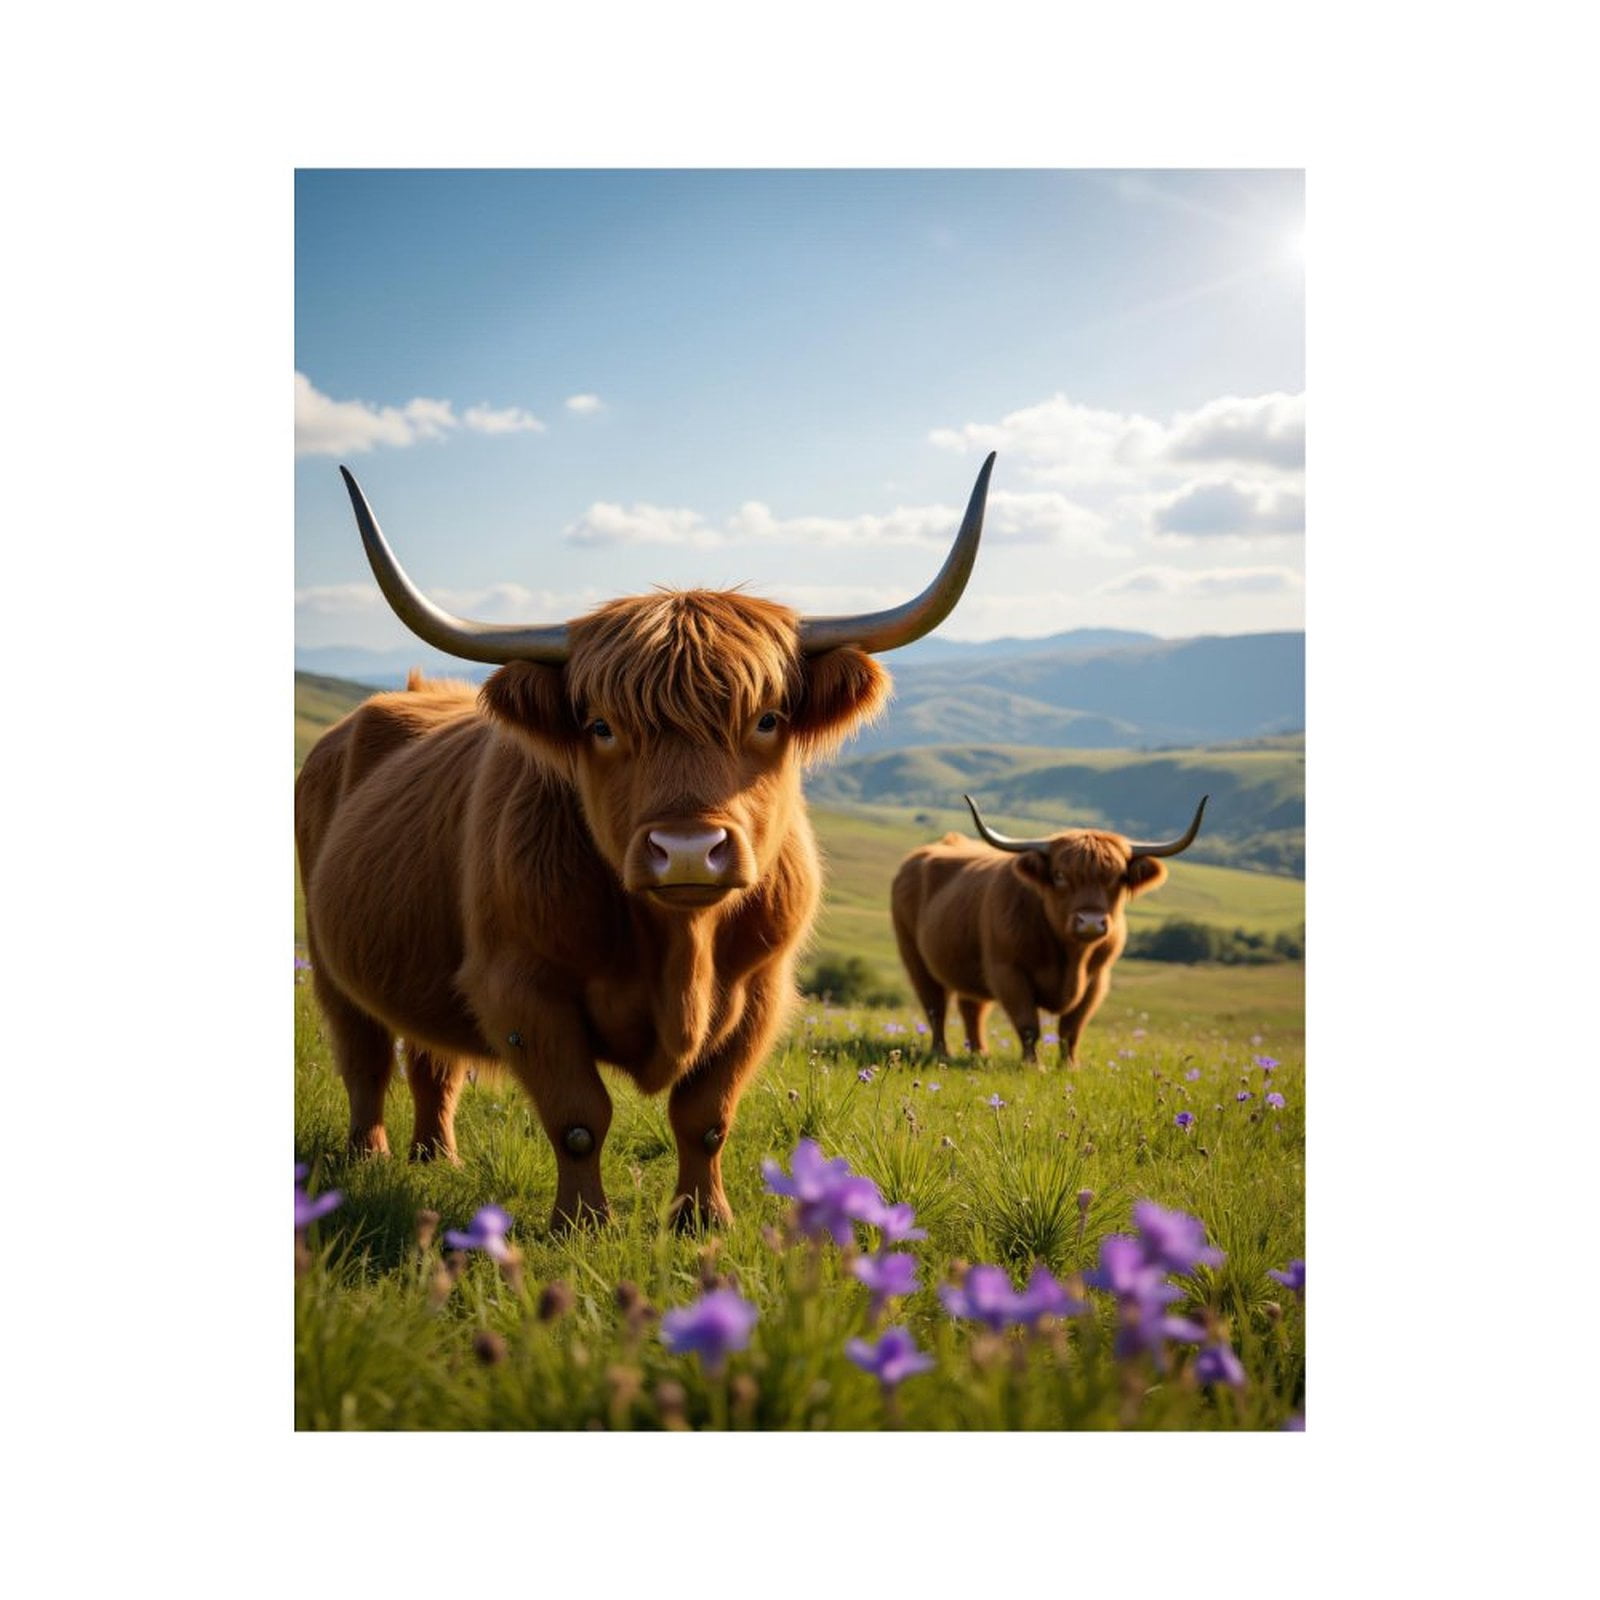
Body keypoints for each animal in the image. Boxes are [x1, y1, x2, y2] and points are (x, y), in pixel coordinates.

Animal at [295, 455, 995, 1231]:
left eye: (768, 718)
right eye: (601, 726)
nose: (687, 849)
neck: (678, 947)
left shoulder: (760, 991)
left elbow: (706, 1116)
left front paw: (703, 1218)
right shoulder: (521, 989)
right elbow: (578, 1117)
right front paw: (581, 1224)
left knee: (432, 1061)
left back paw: (436, 1157)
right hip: (330, 963)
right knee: (365, 1057)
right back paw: (370, 1158)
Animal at [889, 793, 1206, 1069]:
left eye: (1119, 877)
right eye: (1059, 875)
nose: (1090, 922)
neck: (1070, 957)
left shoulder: (1097, 980)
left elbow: (1071, 1028)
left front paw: (1069, 1067)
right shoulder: (1008, 972)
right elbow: (1028, 1025)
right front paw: (1033, 1066)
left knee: (971, 1009)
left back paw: (980, 1053)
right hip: (914, 957)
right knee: (935, 1007)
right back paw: (941, 1053)